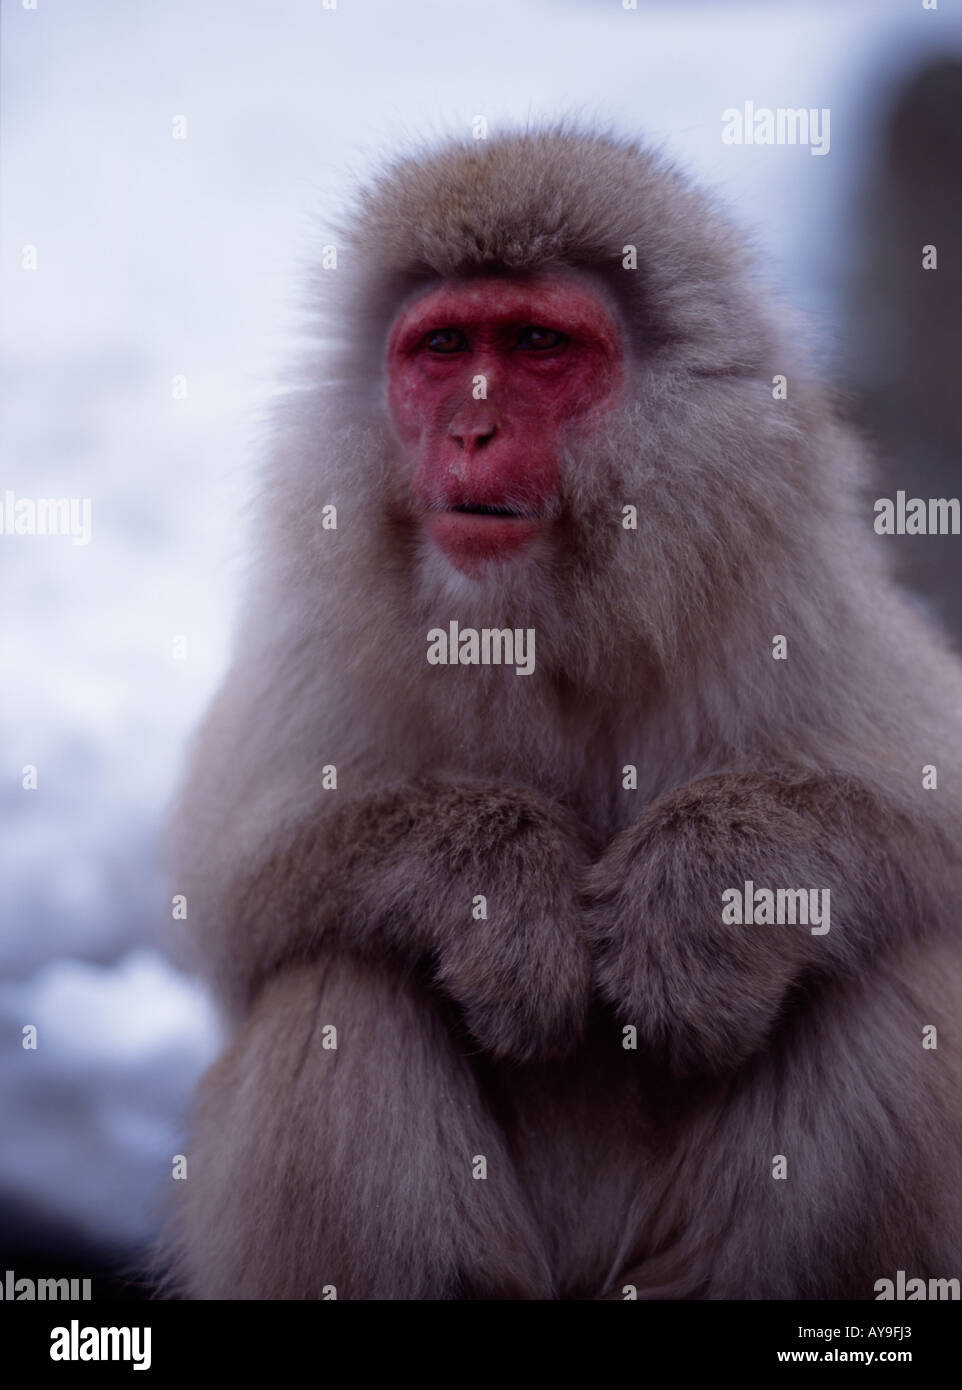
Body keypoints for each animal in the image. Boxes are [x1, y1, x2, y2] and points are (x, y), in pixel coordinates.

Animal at [163, 128, 962, 1300]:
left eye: (538, 343)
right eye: (444, 347)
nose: (471, 431)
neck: (555, 621)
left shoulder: (796, 597)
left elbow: (936, 828)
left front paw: (709, 891)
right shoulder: (322, 628)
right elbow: (228, 900)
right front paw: (496, 887)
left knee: (883, 982)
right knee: (341, 985)